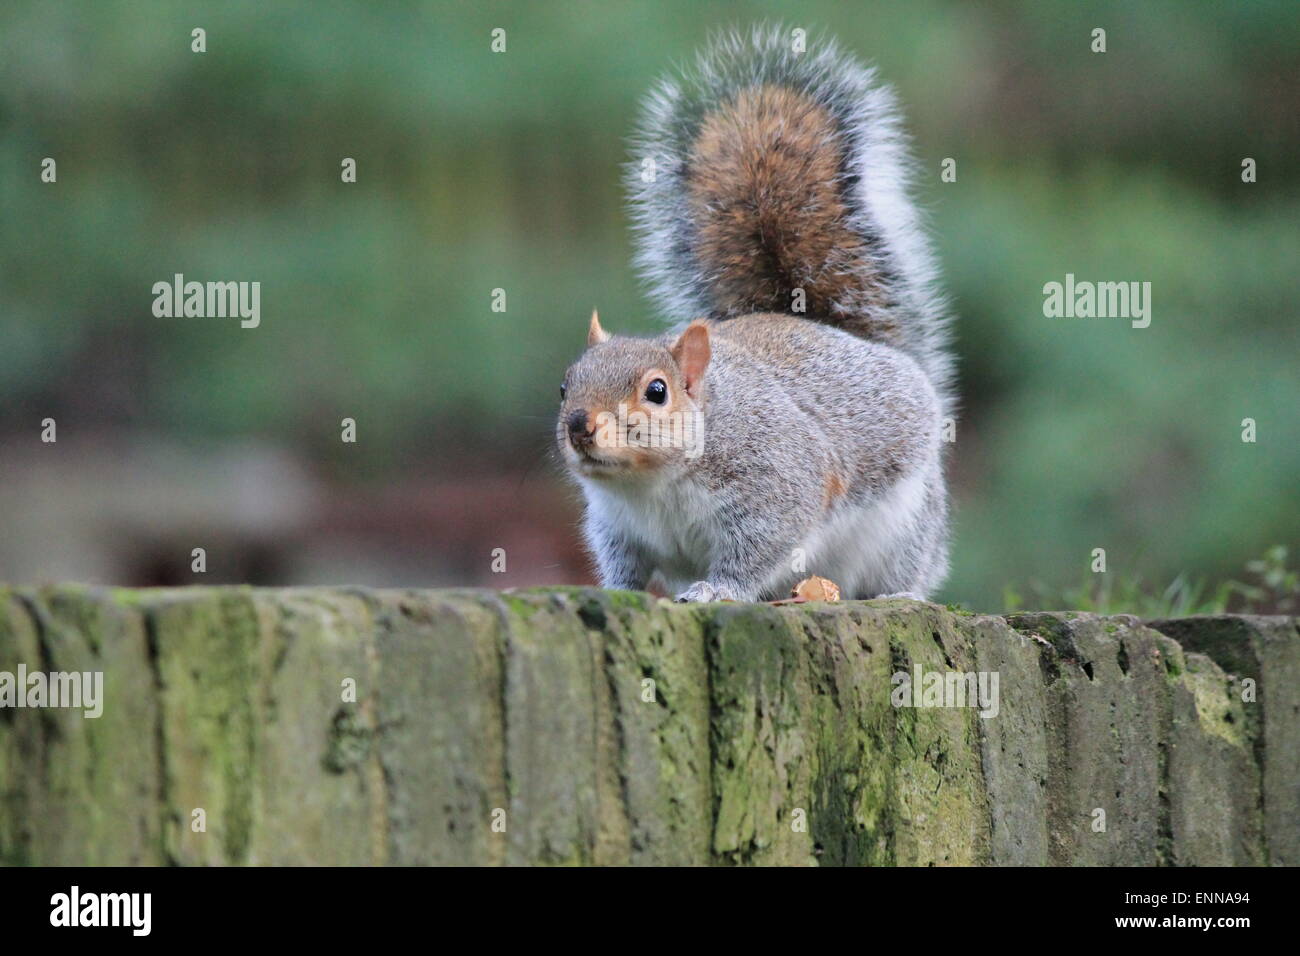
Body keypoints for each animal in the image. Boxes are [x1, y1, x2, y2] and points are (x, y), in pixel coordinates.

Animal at [556, 27, 954, 603]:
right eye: (564, 386)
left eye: (657, 391)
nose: (578, 425)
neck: (650, 484)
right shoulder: (616, 524)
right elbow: (624, 566)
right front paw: (614, 592)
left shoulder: (777, 479)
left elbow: (759, 548)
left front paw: (717, 590)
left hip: (905, 523)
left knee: (911, 567)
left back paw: (899, 594)